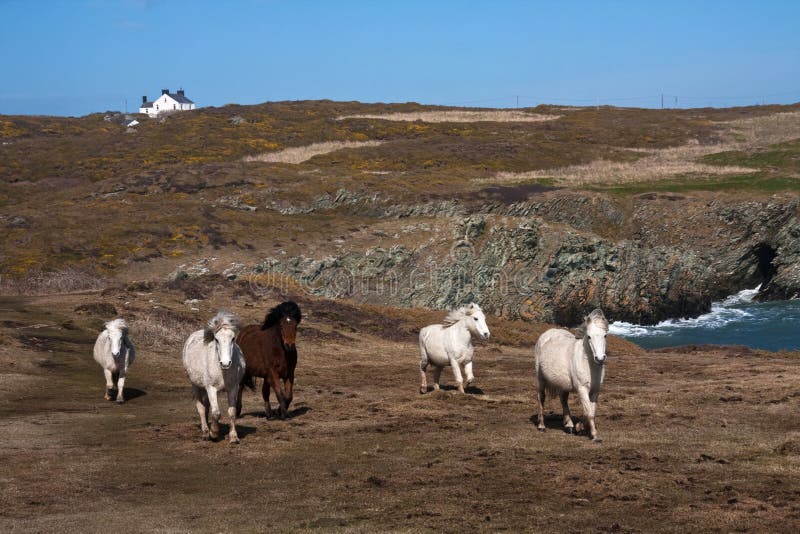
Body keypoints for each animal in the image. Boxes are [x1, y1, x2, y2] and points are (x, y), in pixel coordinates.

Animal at [182, 311, 246, 443]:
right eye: (216, 339)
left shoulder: (233, 388)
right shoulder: (211, 388)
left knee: (206, 406)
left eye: (233, 338)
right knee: (201, 408)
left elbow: (232, 412)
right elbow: (216, 413)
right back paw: (206, 432)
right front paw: (214, 433)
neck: (223, 372)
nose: (225, 363)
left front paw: (233, 437)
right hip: (195, 385)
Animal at [534, 308, 608, 442]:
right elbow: (588, 412)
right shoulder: (582, 389)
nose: (600, 358)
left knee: (563, 400)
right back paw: (541, 426)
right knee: (541, 398)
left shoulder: (595, 391)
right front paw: (594, 436)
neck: (587, 364)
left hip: (563, 385)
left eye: (605, 335)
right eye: (589, 336)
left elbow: (591, 411)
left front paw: (579, 428)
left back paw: (569, 425)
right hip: (540, 378)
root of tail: (547, 334)